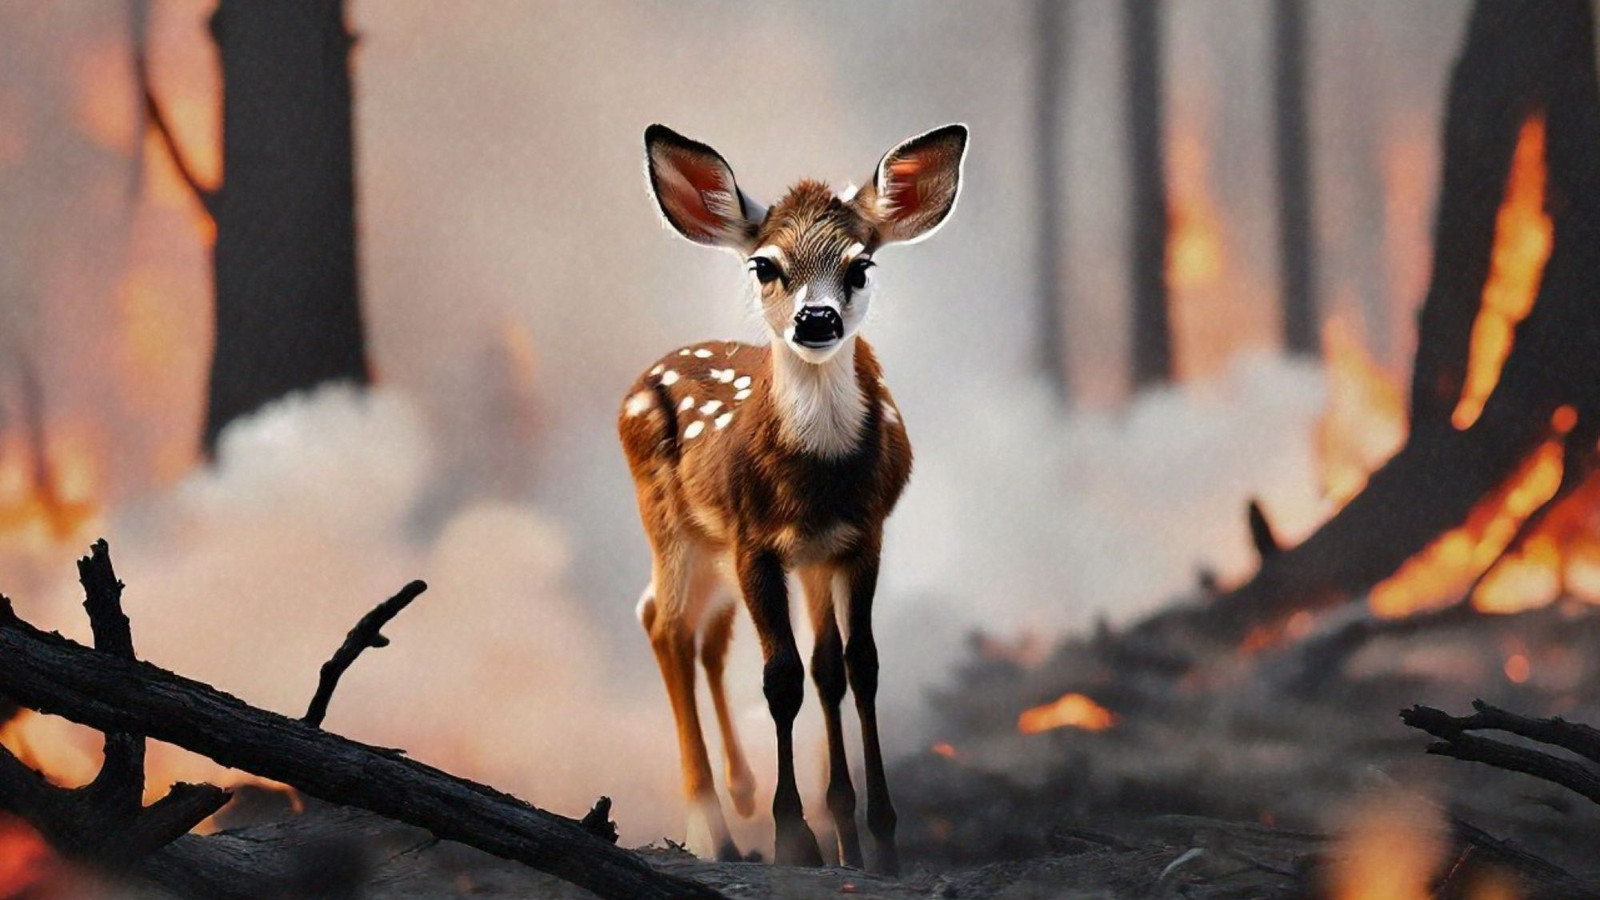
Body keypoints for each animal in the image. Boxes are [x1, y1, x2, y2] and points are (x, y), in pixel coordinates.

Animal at [617, 123, 967, 873]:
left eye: (861, 265)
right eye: (764, 266)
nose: (815, 319)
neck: (816, 481)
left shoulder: (857, 538)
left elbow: (854, 666)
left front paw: (874, 840)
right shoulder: (756, 543)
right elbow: (781, 677)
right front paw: (793, 837)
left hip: (737, 554)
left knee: (704, 632)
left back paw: (745, 800)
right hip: (673, 525)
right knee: (667, 624)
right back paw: (714, 829)